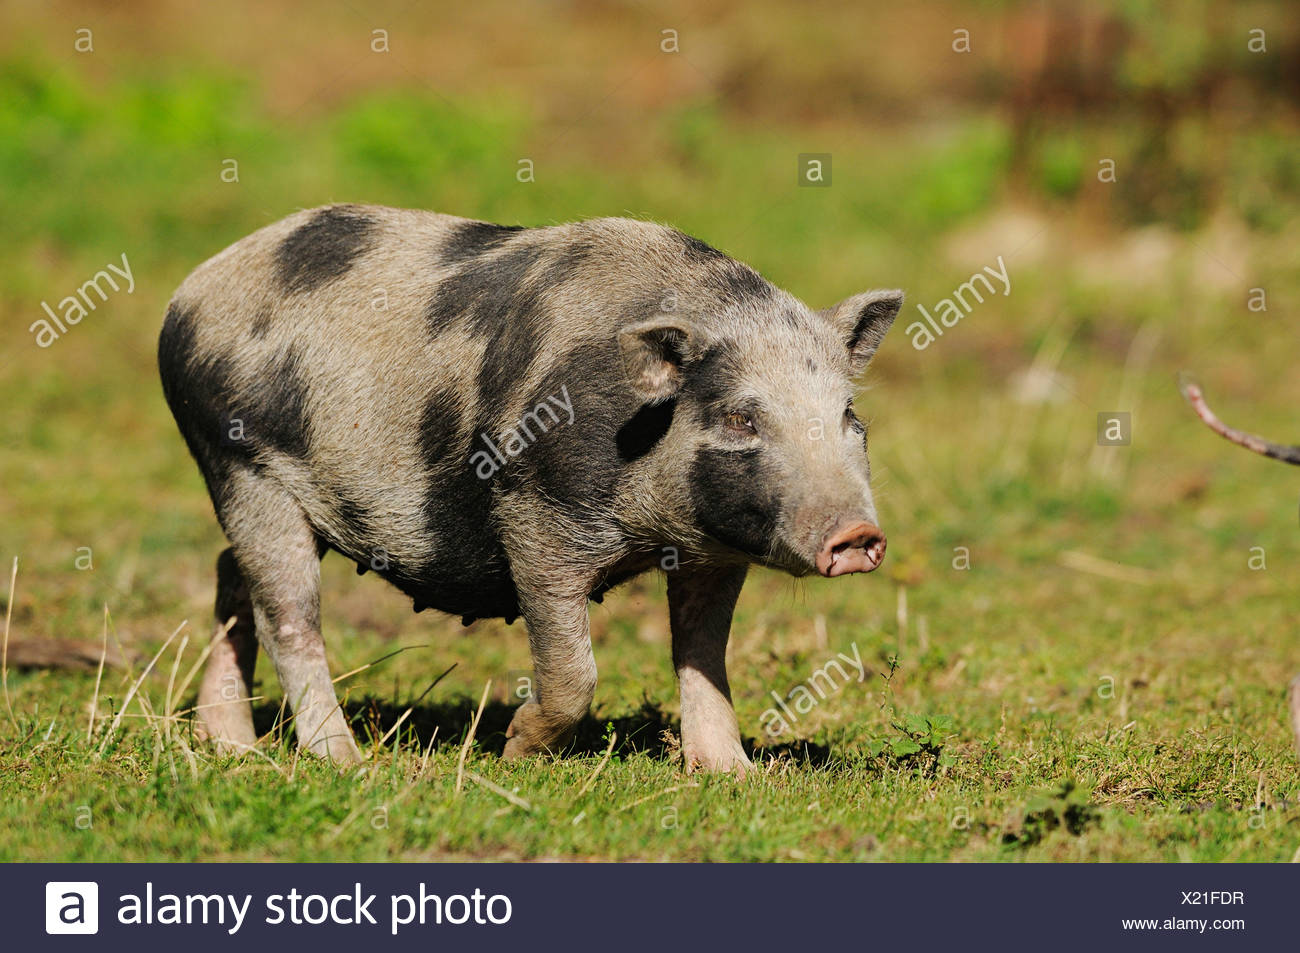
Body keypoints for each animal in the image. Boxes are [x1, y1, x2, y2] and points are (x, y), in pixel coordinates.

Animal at [159, 204, 900, 775]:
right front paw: (514, 751)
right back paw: (344, 762)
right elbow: (574, 670)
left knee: (231, 575)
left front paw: (733, 775)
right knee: (288, 616)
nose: (858, 534)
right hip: (242, 465)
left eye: (847, 415)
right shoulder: (536, 516)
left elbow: (702, 653)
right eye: (742, 418)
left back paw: (230, 745)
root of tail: (186, 295)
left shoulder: (712, 553)